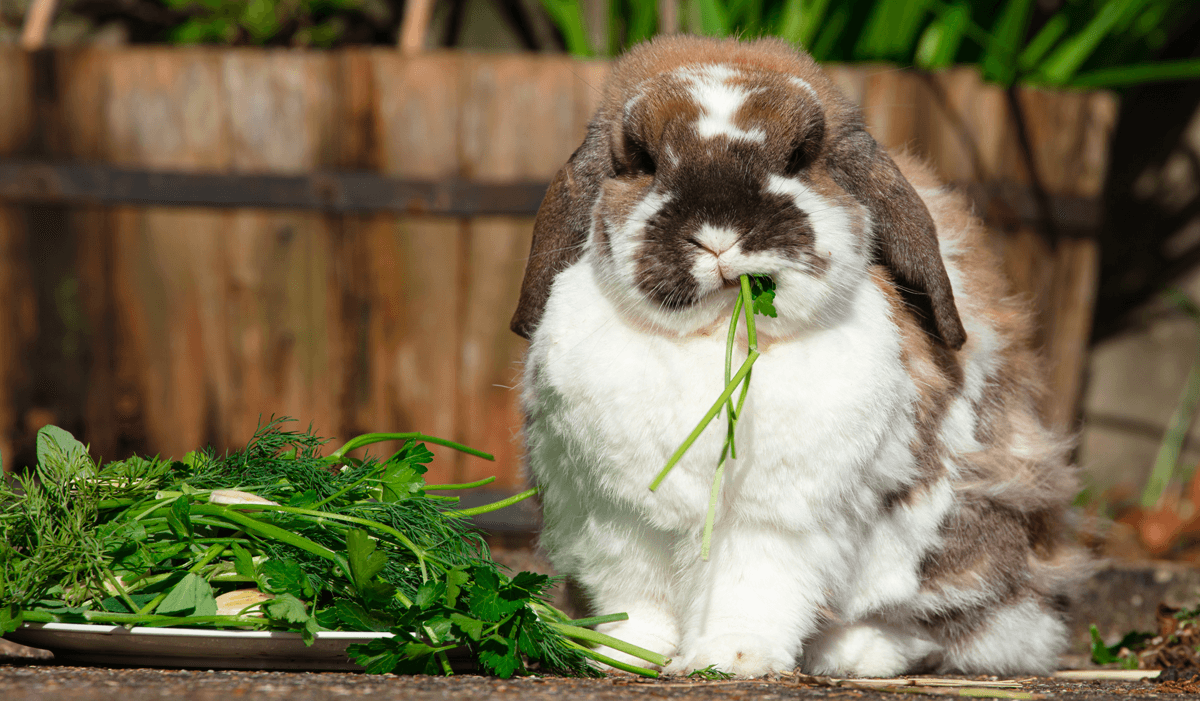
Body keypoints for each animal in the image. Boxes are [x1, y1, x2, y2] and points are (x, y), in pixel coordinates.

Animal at [510, 35, 1088, 678]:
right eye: (641, 159)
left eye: (799, 156)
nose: (719, 233)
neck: (716, 342)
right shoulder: (616, 520)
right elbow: (637, 600)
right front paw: (621, 654)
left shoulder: (772, 523)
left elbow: (749, 592)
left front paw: (729, 659)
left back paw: (855, 654)